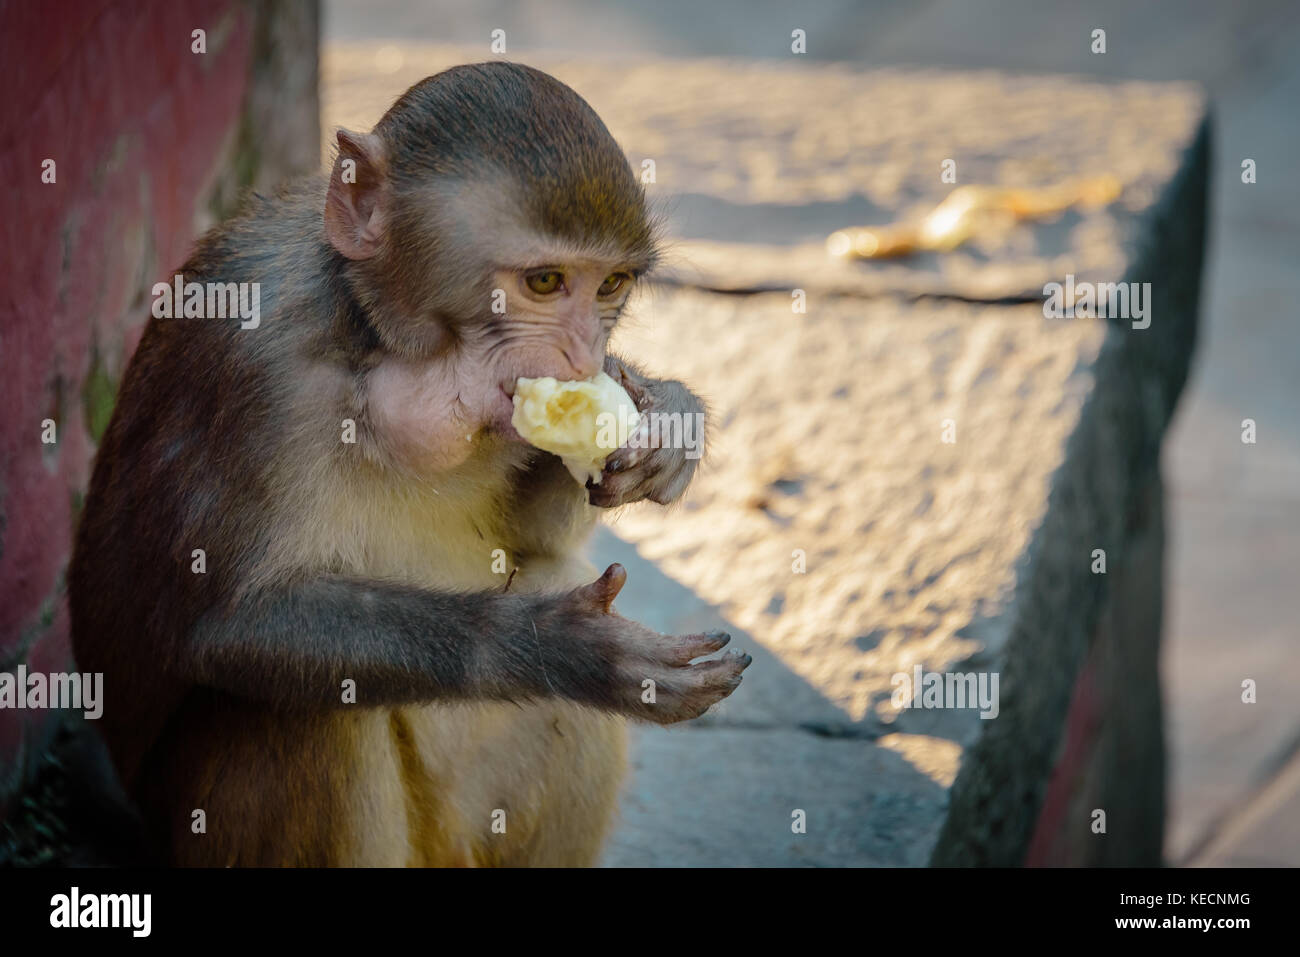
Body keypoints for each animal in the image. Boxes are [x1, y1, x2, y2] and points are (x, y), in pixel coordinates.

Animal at [68, 62, 751, 867]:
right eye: (544, 283)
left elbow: (533, 539)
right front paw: (563, 649)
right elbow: (231, 623)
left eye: (610, 285)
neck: (368, 336)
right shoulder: (251, 363)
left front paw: (668, 419)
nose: (584, 356)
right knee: (302, 712)